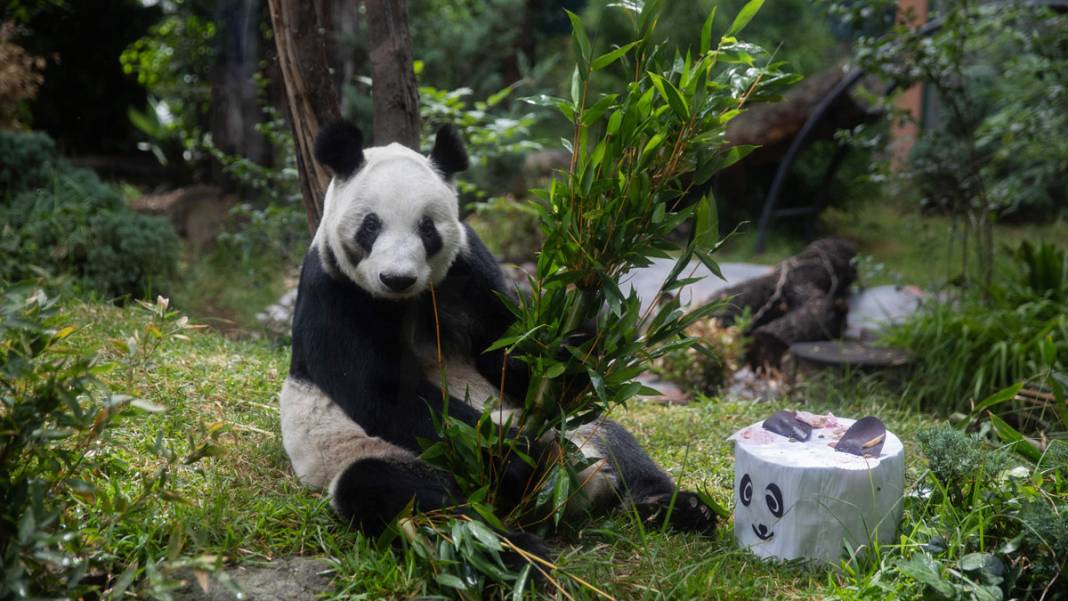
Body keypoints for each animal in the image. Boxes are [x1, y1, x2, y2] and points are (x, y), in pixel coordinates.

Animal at [279, 121, 717, 554]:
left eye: (427, 228)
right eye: (370, 225)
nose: (397, 277)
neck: (407, 301)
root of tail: (576, 493)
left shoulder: (468, 269)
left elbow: (508, 354)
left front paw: (575, 344)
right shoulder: (335, 294)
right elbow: (386, 396)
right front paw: (521, 457)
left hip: (575, 432)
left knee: (618, 444)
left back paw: (676, 508)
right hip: (388, 457)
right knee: (403, 496)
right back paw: (519, 547)